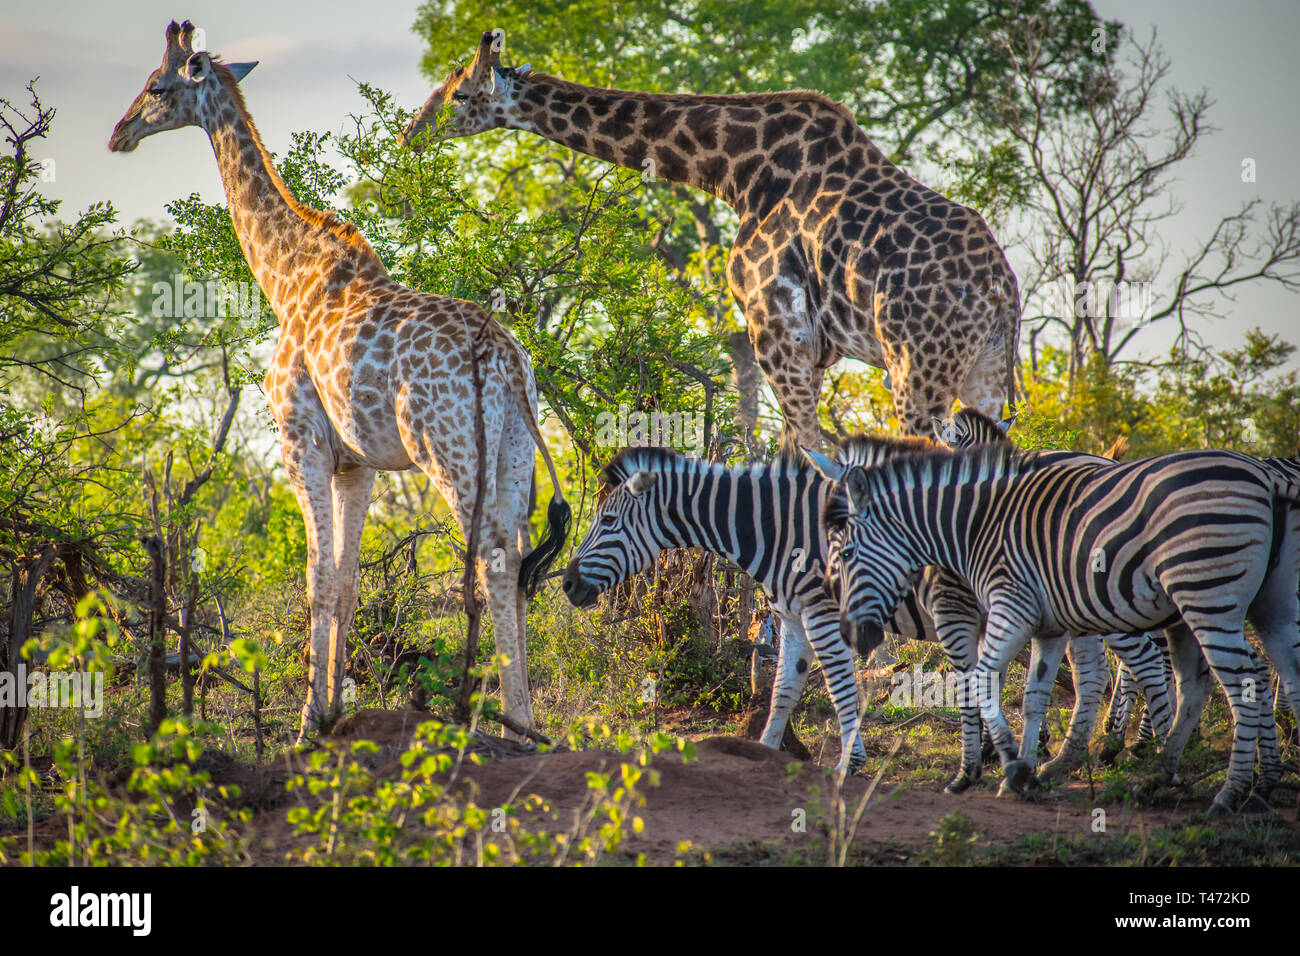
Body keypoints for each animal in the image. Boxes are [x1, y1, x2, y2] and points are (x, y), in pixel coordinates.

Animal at [110, 22, 570, 741]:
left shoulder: (301, 439)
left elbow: (317, 578)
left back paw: (514, 720)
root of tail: (507, 360)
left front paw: (308, 722)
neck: (285, 276)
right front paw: (333, 710)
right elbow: (349, 582)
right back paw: (517, 721)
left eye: (156, 87)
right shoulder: (360, 462)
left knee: (495, 558)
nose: (119, 133)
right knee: (521, 560)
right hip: (516, 452)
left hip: (451, 452)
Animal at [403, 32, 1021, 444]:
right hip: (986, 371)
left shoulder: (776, 331)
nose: (412, 131)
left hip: (915, 368)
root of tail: (1001, 291)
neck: (736, 172)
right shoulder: (808, 348)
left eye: (460, 95)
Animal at [827, 443, 1300, 815]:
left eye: (846, 553)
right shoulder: (1048, 625)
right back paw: (1187, 778)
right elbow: (1033, 695)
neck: (976, 525)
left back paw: (1226, 792)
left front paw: (1008, 767)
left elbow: (981, 680)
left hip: (1206, 596)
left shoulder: (1010, 604)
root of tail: (1264, 474)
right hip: (1256, 606)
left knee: (1240, 682)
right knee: (1246, 677)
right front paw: (1022, 770)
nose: (851, 632)